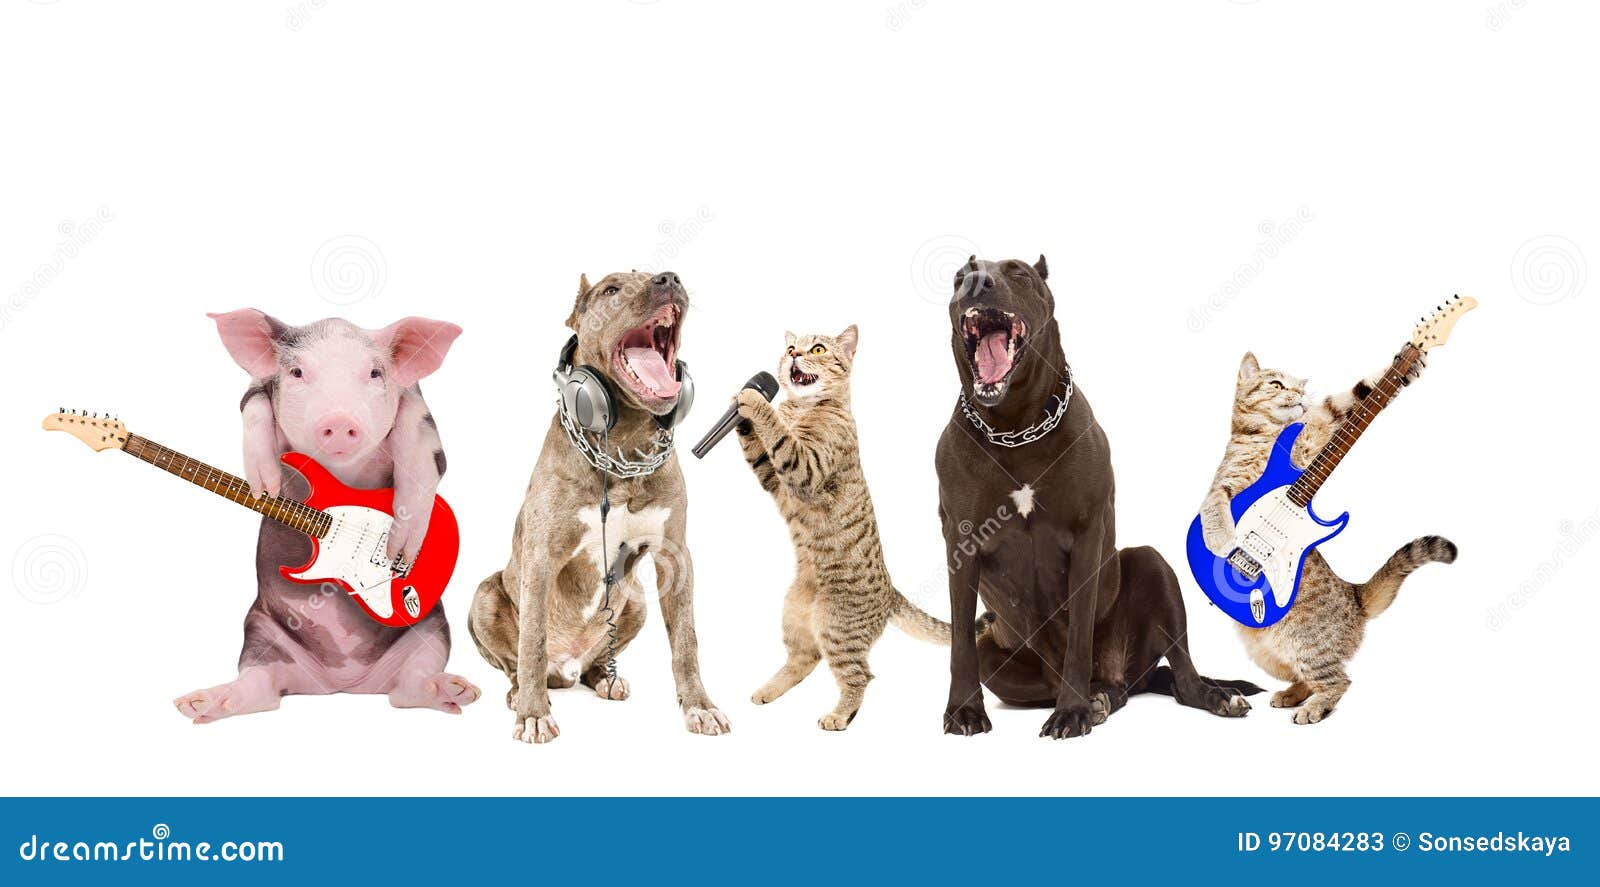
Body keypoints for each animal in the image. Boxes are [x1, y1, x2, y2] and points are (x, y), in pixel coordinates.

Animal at [172, 309, 480, 723]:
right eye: (297, 372)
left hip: (431, 629)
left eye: (374, 373)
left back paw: (454, 690)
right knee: (261, 687)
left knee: (410, 687)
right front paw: (265, 485)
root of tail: (343, 684)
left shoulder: (417, 408)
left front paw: (401, 544)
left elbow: (419, 435)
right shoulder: (256, 389)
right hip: (260, 632)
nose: (339, 419)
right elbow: (252, 405)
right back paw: (201, 703)